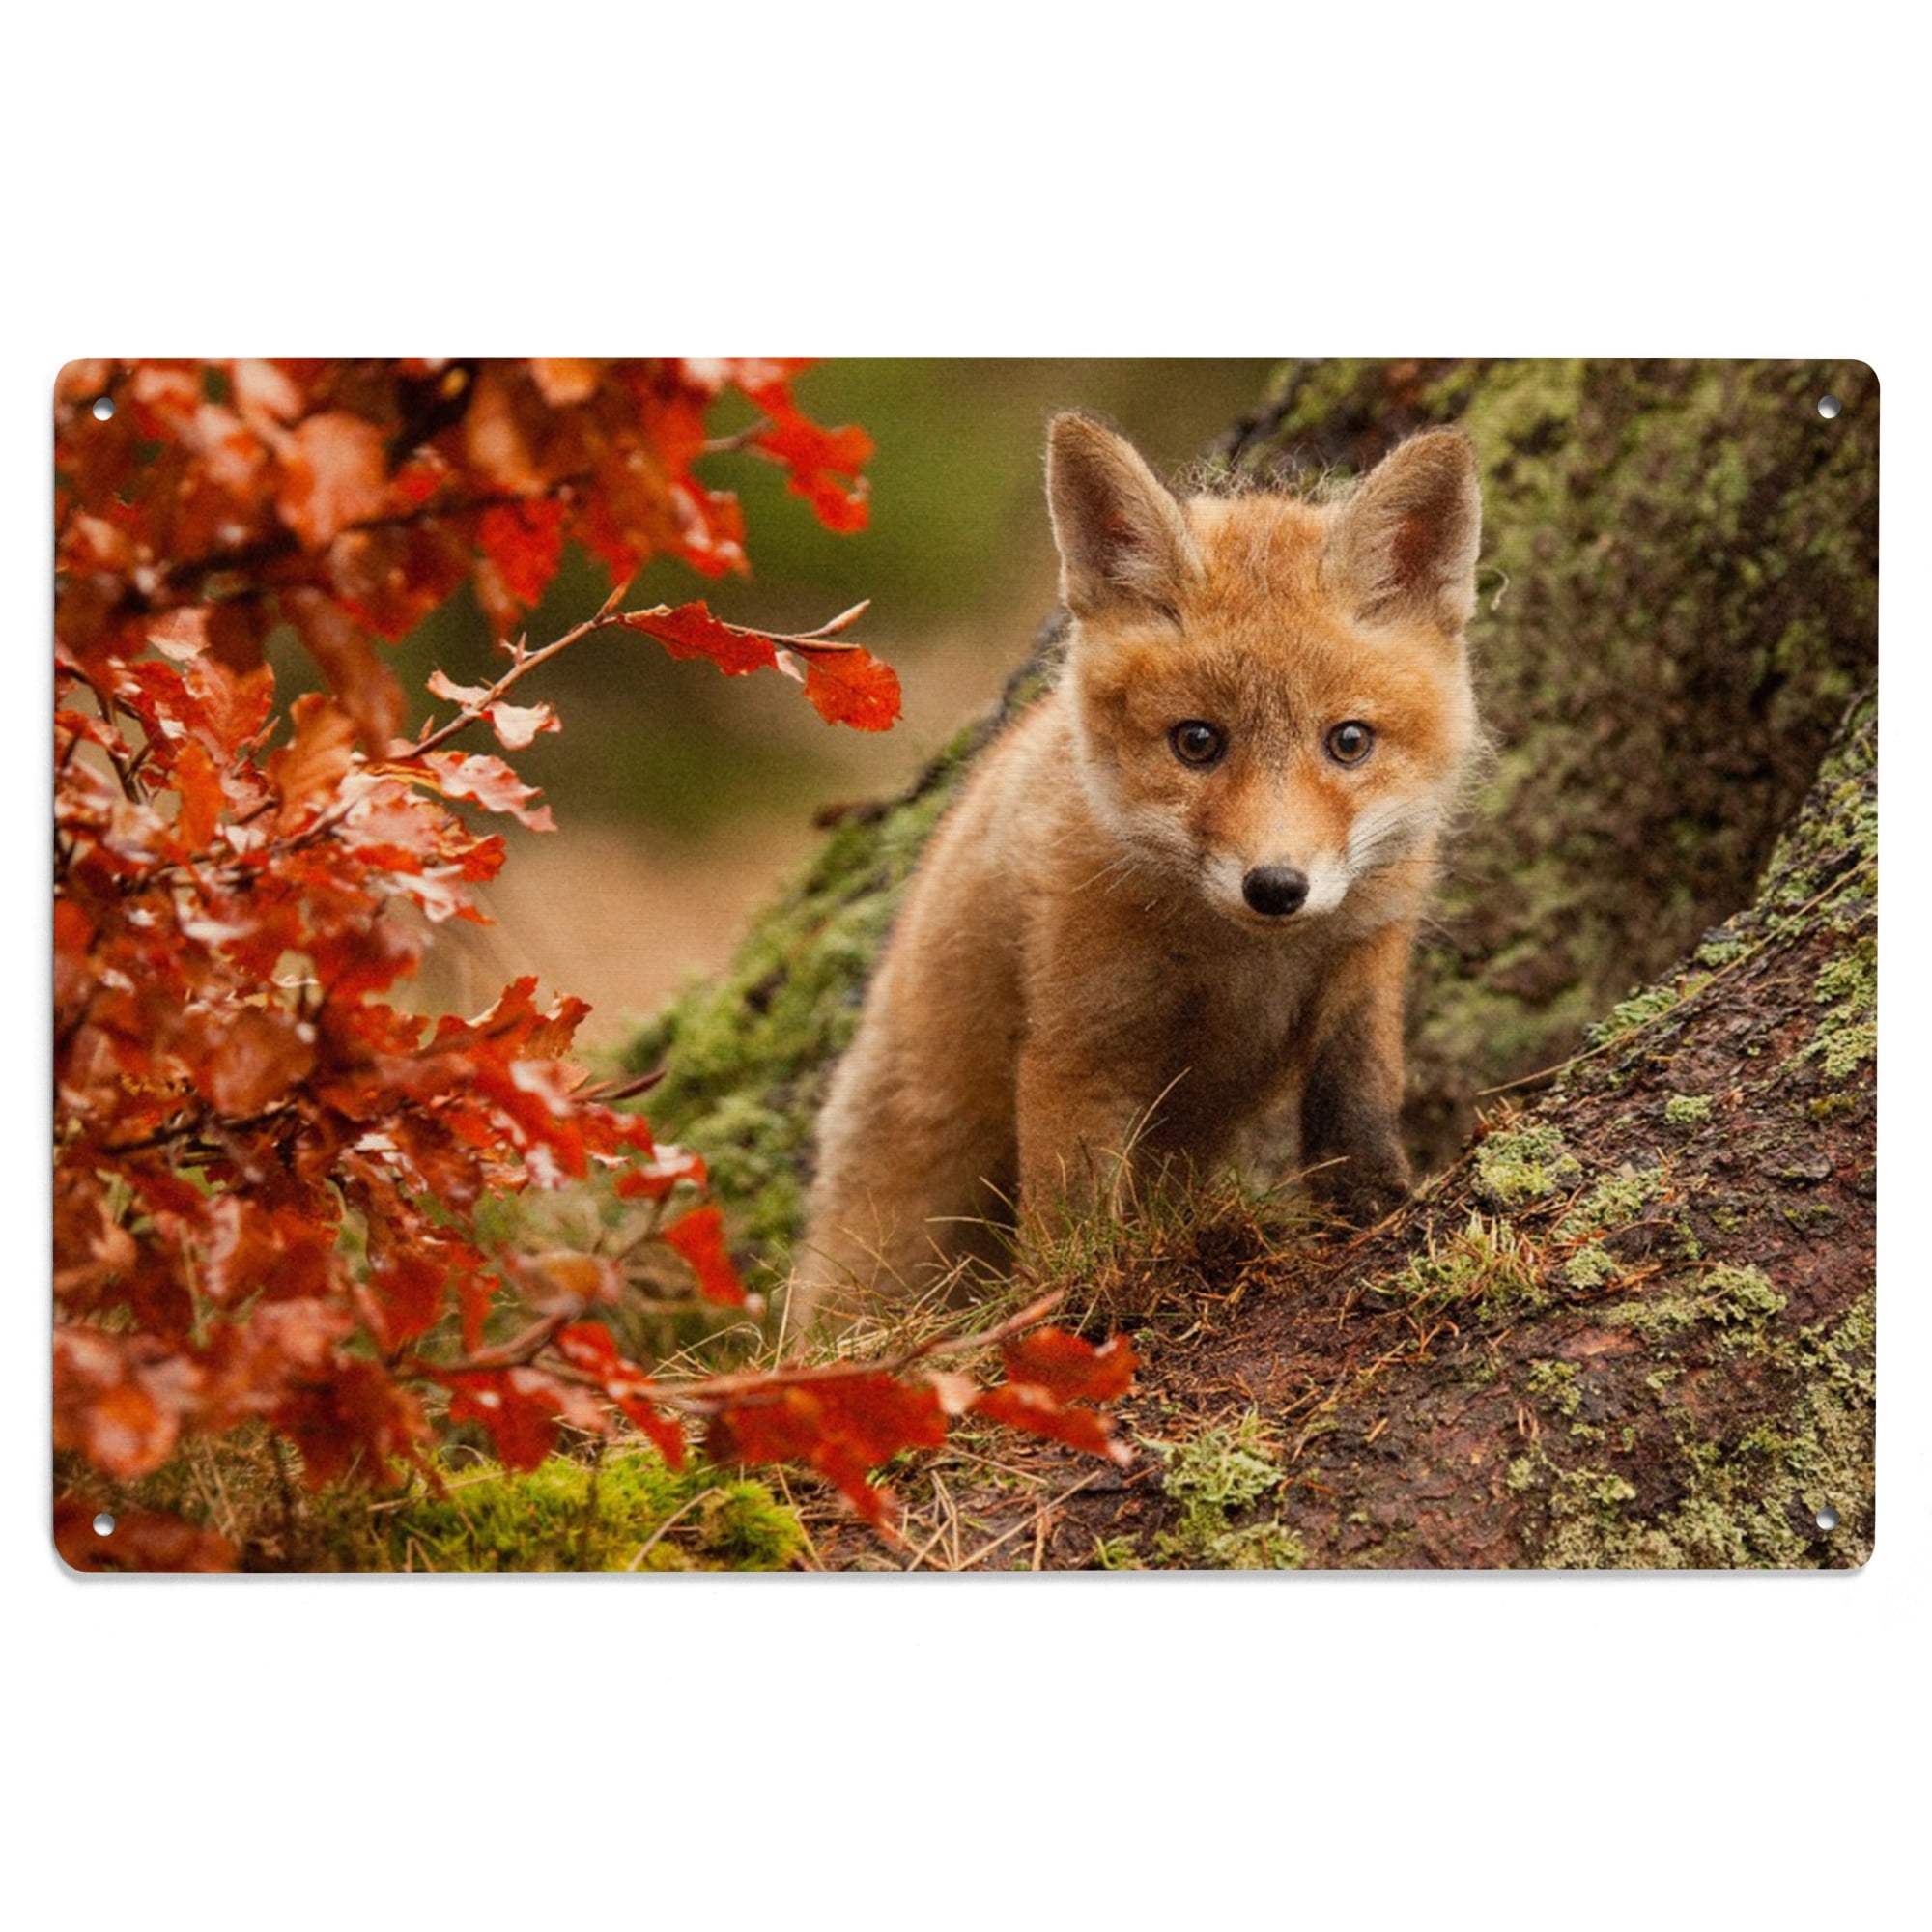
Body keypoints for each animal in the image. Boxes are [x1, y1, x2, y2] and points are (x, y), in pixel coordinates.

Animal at [789, 413, 1482, 1333]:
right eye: (1197, 742)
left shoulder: (1365, 962)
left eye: (1349, 742)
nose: (1276, 887)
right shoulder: (1080, 1041)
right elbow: (1072, 1213)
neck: (1239, 961)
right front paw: (1074, 1307)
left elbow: (1357, 1097)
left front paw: (1372, 1204)